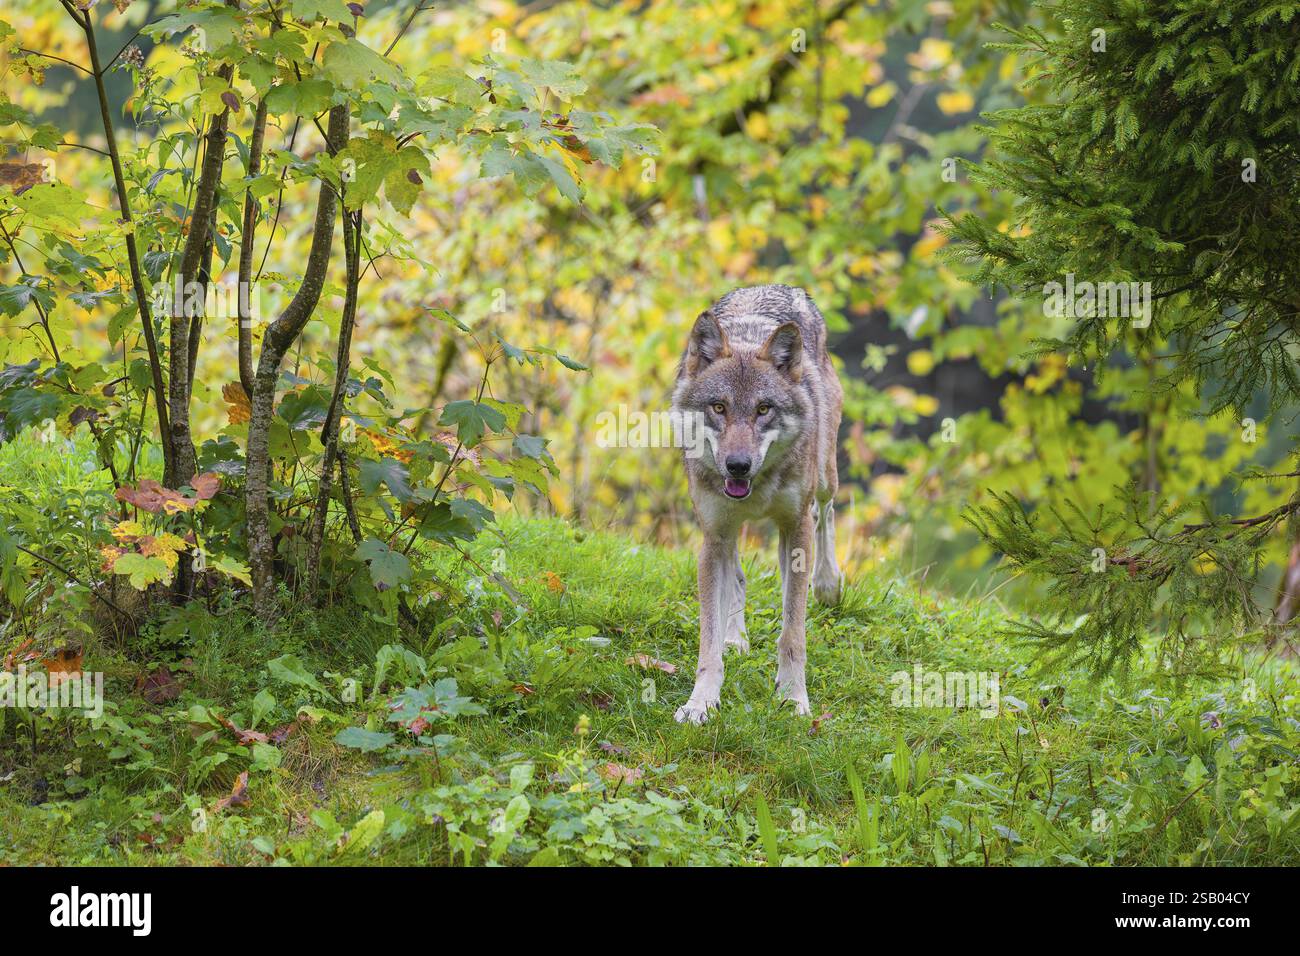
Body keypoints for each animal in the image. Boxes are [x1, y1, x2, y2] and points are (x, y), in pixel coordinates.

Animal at [671, 284, 844, 724]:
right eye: (719, 407)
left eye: (764, 409)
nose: (737, 465)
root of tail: (779, 287)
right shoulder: (713, 536)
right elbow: (708, 640)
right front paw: (701, 702)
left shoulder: (795, 528)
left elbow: (792, 634)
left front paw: (793, 698)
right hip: (727, 530)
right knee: (738, 577)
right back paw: (736, 639)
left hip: (824, 477)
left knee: (826, 511)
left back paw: (828, 584)